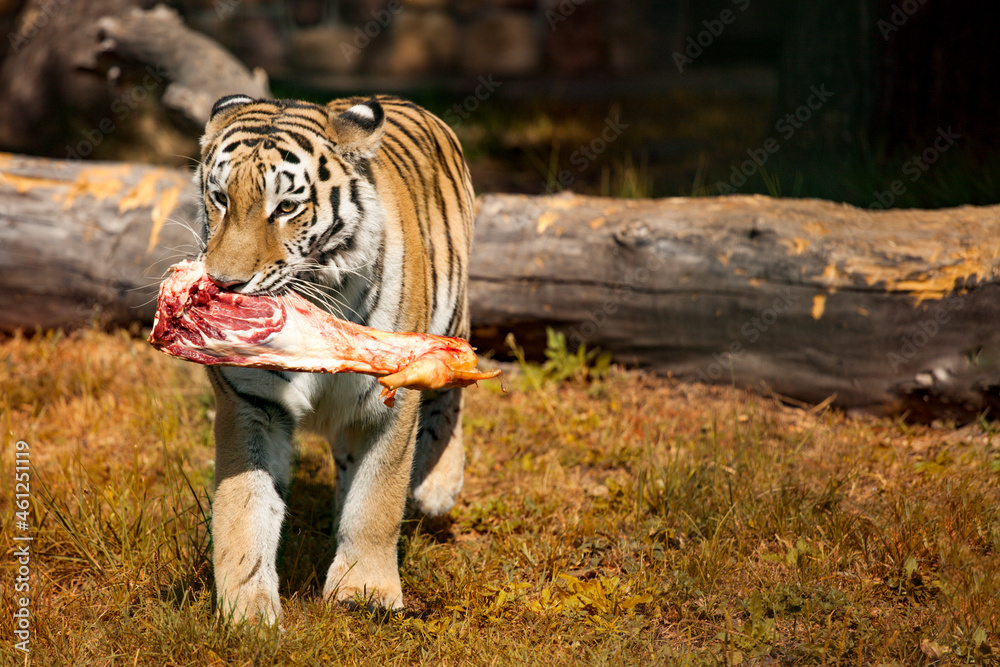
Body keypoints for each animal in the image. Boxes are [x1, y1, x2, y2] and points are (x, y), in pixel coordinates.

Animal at [193, 93, 476, 623]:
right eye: (220, 198)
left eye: (286, 207)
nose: (224, 283)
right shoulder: (249, 404)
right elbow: (244, 506)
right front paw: (247, 610)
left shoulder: (393, 398)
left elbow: (378, 498)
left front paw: (366, 590)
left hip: (452, 319)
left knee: (454, 383)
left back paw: (436, 486)